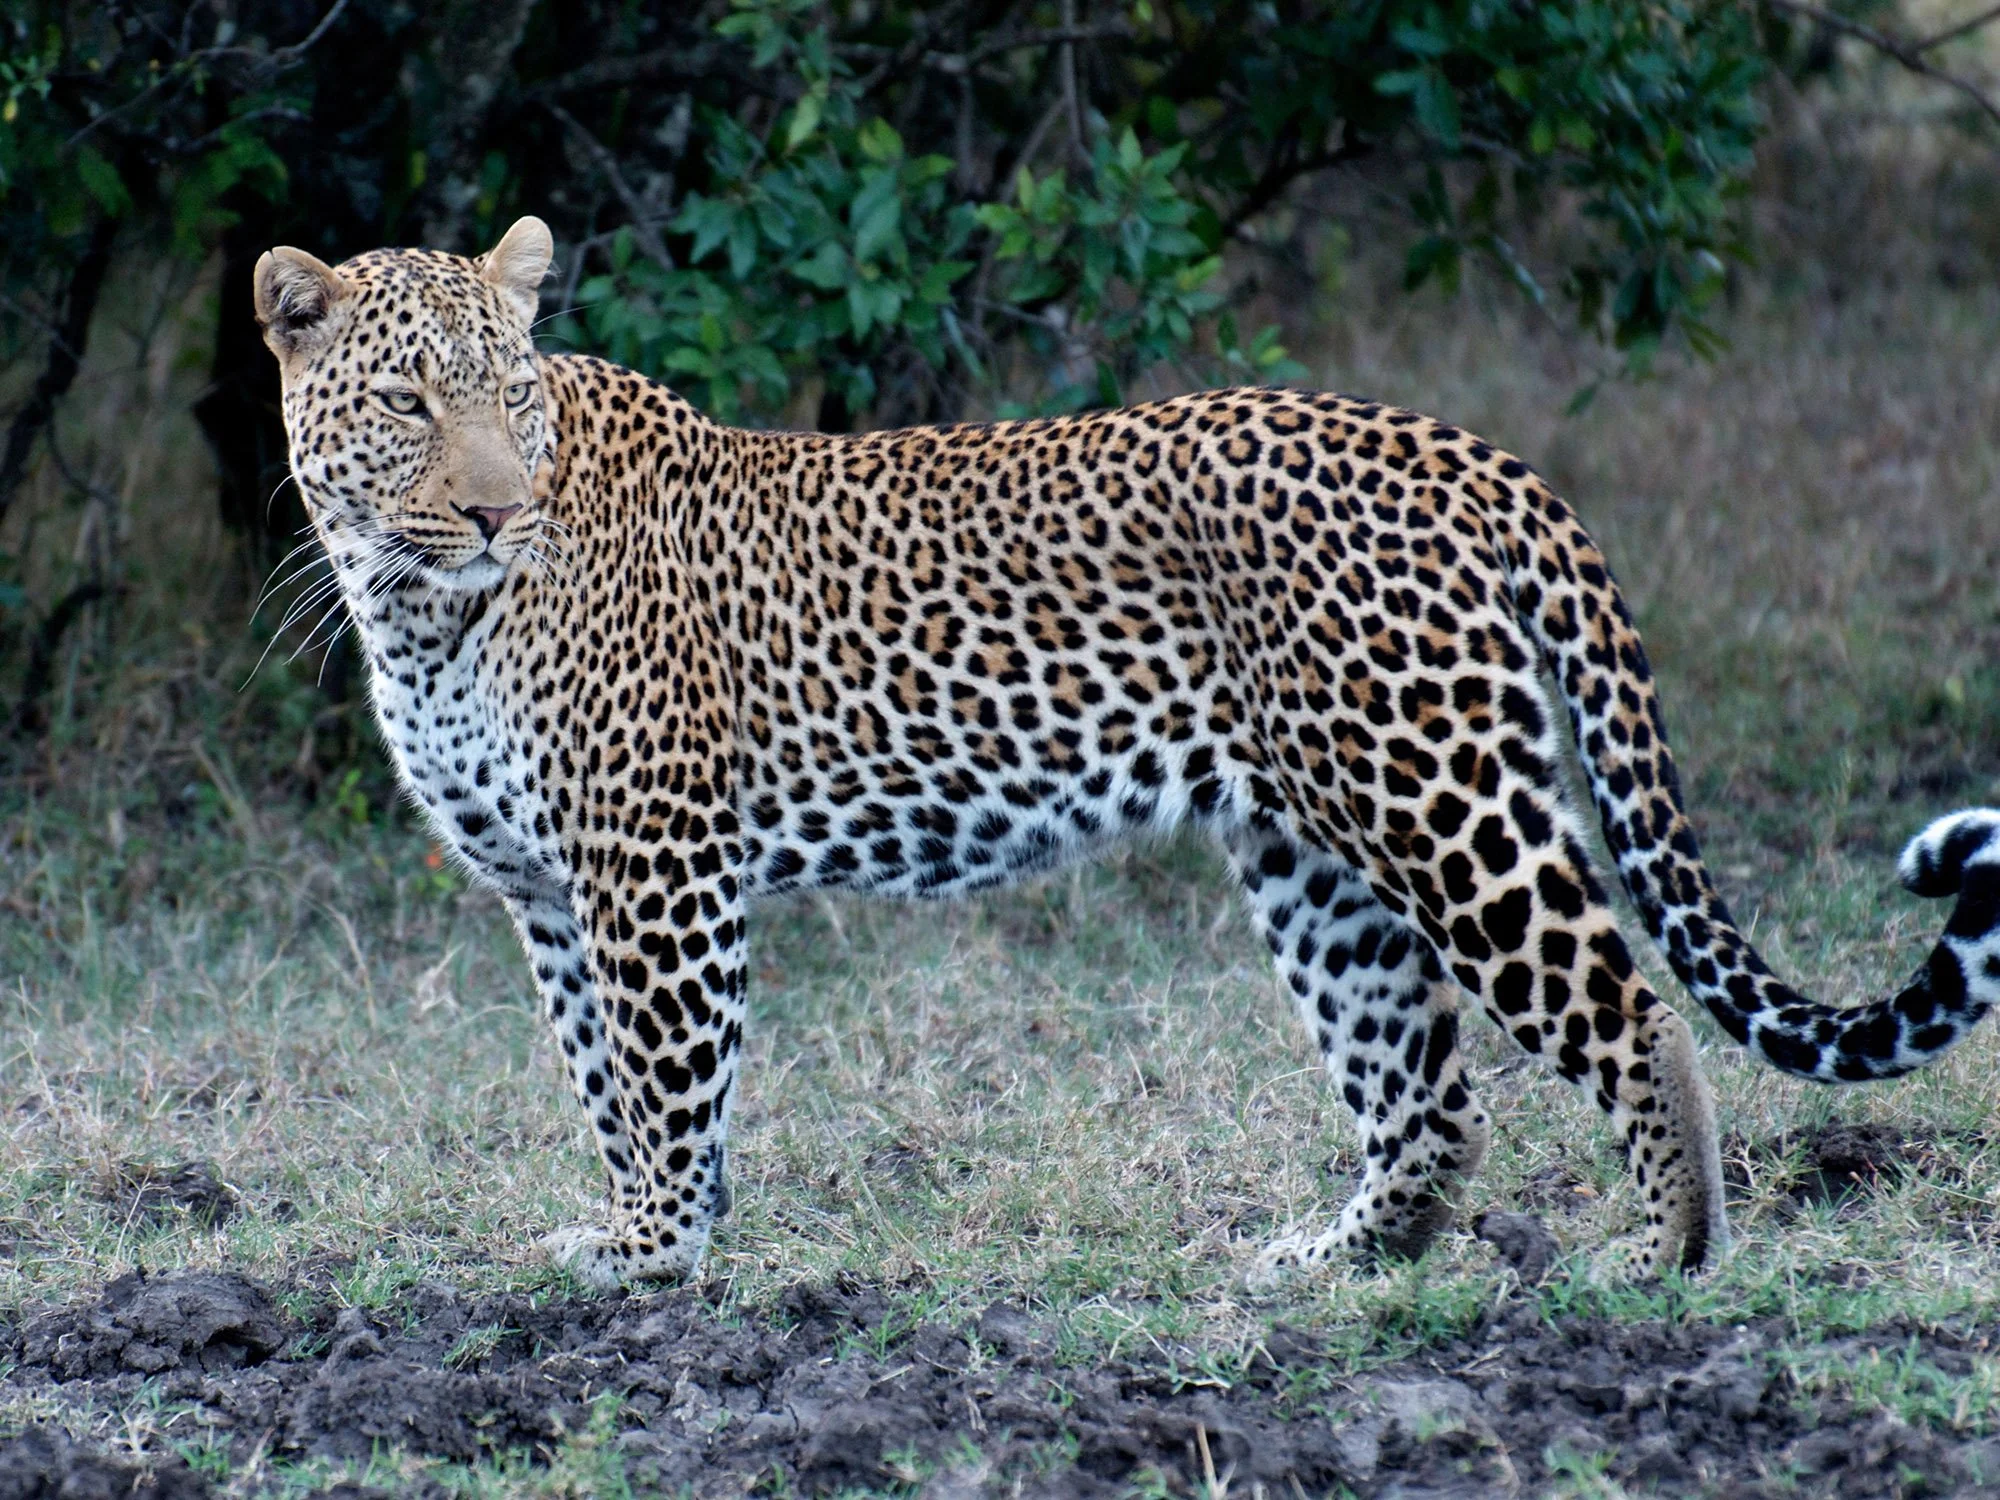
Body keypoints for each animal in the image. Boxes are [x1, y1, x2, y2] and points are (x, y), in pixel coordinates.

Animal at [253, 215, 2000, 1290]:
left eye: (510, 397)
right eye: (409, 404)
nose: (498, 512)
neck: (416, 606)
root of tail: (1463, 451)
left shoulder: (657, 869)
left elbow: (670, 1073)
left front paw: (655, 1253)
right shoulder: (551, 896)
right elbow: (605, 1081)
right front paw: (646, 1231)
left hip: (1441, 802)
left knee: (1625, 1003)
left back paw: (1668, 1259)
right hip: (1311, 851)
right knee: (1423, 1087)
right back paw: (1340, 1264)